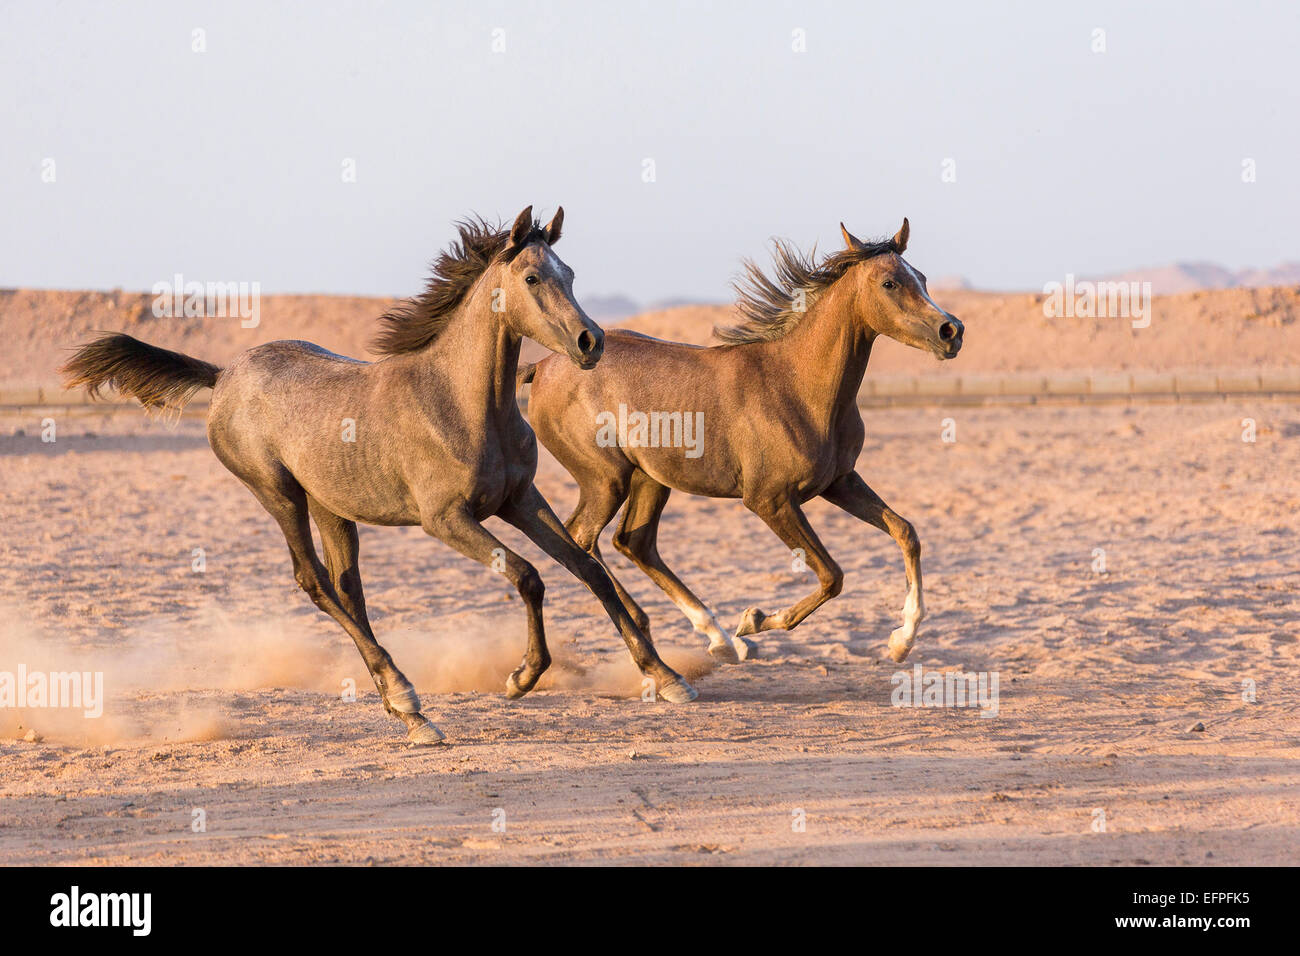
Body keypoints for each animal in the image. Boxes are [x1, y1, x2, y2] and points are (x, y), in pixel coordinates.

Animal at [60, 206, 699, 745]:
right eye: (534, 278)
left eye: (569, 272)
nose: (592, 342)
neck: (463, 403)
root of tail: (223, 376)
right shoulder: (446, 520)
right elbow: (528, 576)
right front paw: (522, 677)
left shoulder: (519, 499)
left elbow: (588, 569)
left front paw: (666, 678)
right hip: (278, 494)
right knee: (314, 582)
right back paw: (410, 701)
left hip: (331, 506)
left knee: (349, 589)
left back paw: (402, 709)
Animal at [520, 218, 963, 666]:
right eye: (890, 282)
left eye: (922, 277)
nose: (951, 331)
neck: (798, 386)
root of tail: (541, 365)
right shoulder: (769, 500)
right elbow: (832, 575)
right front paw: (755, 619)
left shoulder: (840, 482)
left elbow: (905, 532)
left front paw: (901, 641)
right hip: (606, 479)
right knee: (581, 540)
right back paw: (660, 632)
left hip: (651, 478)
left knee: (633, 542)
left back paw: (717, 639)